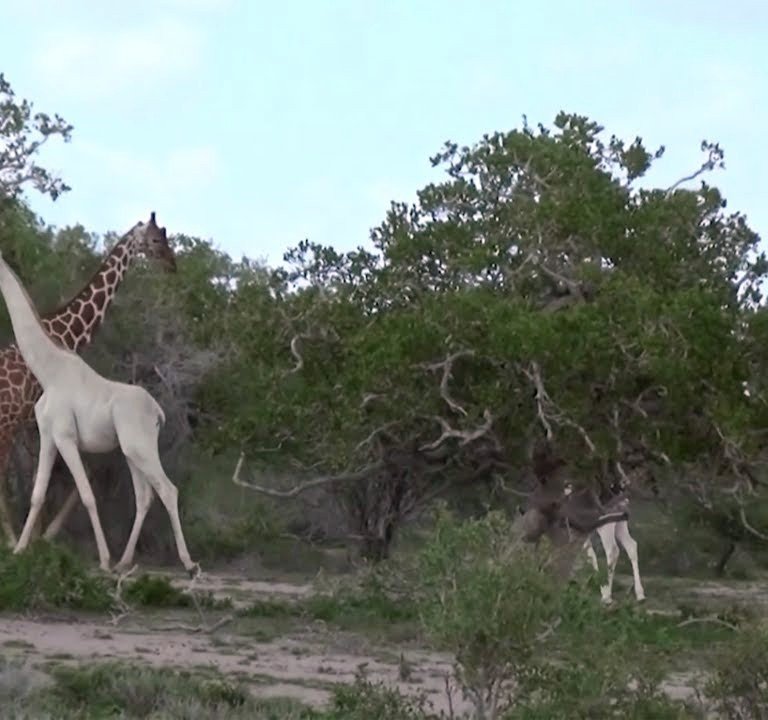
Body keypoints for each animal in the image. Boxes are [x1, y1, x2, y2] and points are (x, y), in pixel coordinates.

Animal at [0, 214, 198, 577]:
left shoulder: (64, 436)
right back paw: (126, 560)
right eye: (156, 239)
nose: (172, 264)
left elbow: (85, 494)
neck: (48, 367)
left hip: (137, 447)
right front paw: (21, 549)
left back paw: (186, 563)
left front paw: (100, 559)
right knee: (146, 496)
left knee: (167, 489)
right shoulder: (47, 435)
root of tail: (159, 413)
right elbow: (38, 494)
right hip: (132, 450)